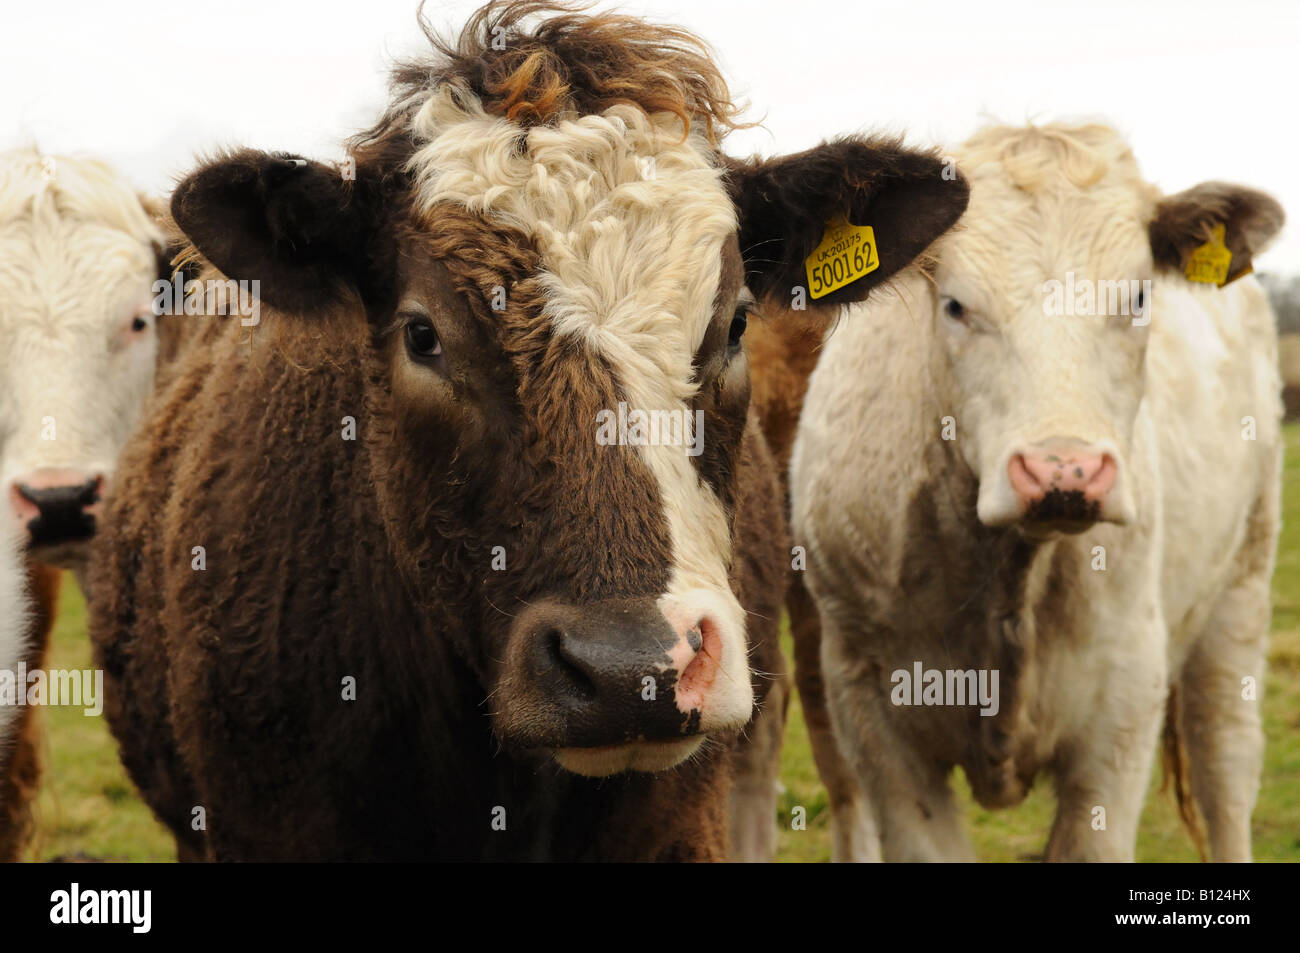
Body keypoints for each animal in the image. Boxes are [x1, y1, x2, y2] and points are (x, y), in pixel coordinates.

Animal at [791, 122, 1284, 862]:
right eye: (955, 305)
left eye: (1139, 298)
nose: (1064, 472)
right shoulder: (870, 710)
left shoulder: (1122, 710)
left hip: (1241, 592)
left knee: (1225, 772)